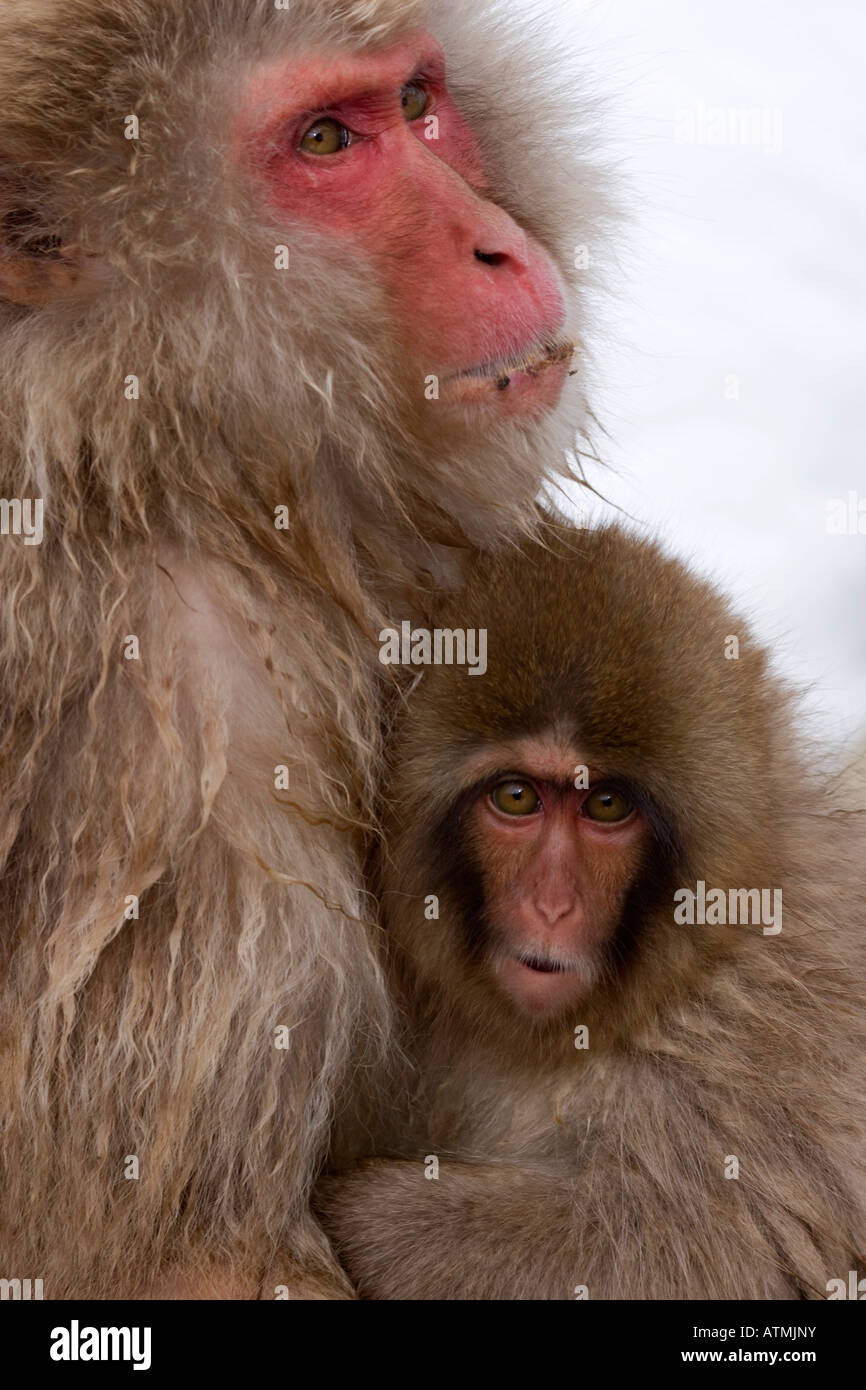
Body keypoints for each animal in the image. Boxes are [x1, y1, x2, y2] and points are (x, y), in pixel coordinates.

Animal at [317, 523, 866, 1300]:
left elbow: (699, 1249)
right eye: (516, 797)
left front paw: (370, 1221)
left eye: (606, 805)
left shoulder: (766, 1027)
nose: (552, 905)